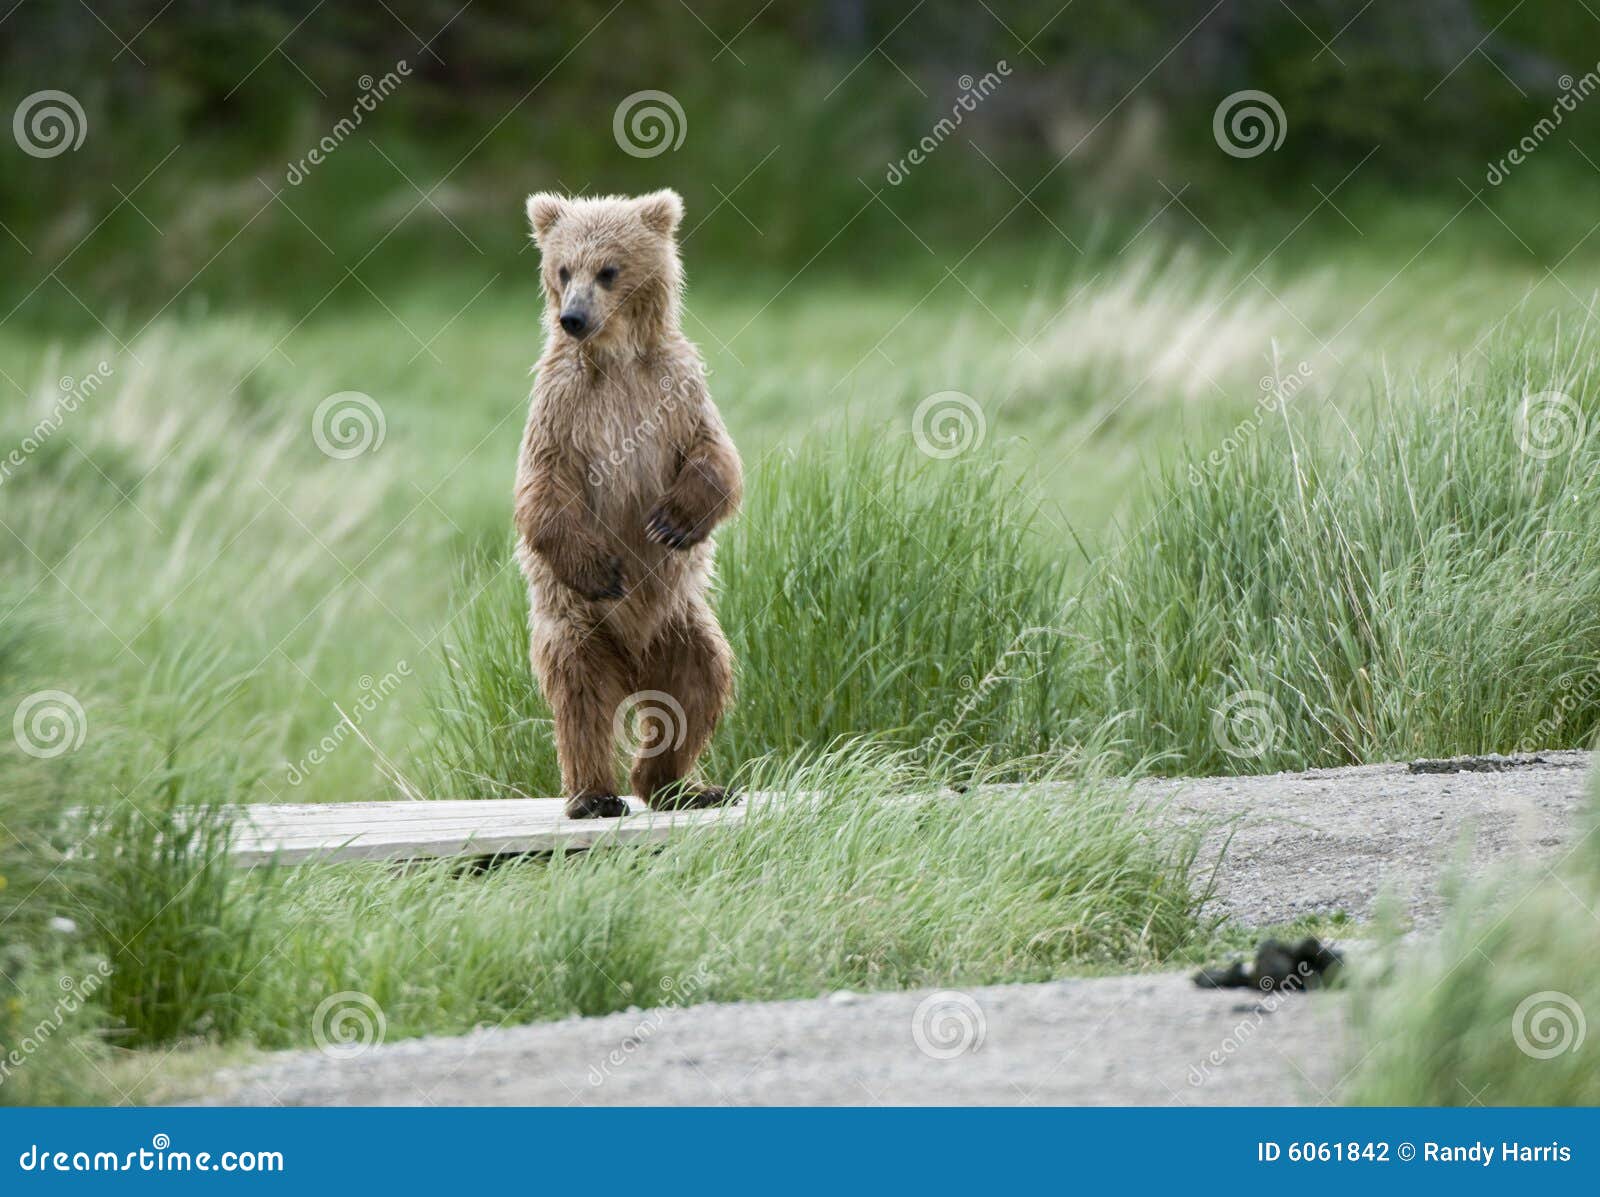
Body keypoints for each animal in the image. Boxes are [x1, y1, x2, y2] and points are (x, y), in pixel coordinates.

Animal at [513, 188, 743, 819]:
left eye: (608, 270)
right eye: (564, 269)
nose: (572, 317)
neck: (615, 358)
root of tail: (635, 666)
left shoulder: (677, 388)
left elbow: (717, 458)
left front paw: (671, 523)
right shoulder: (562, 405)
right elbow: (542, 489)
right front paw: (604, 568)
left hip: (682, 625)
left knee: (700, 687)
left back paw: (681, 786)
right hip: (577, 624)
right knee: (580, 698)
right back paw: (594, 795)